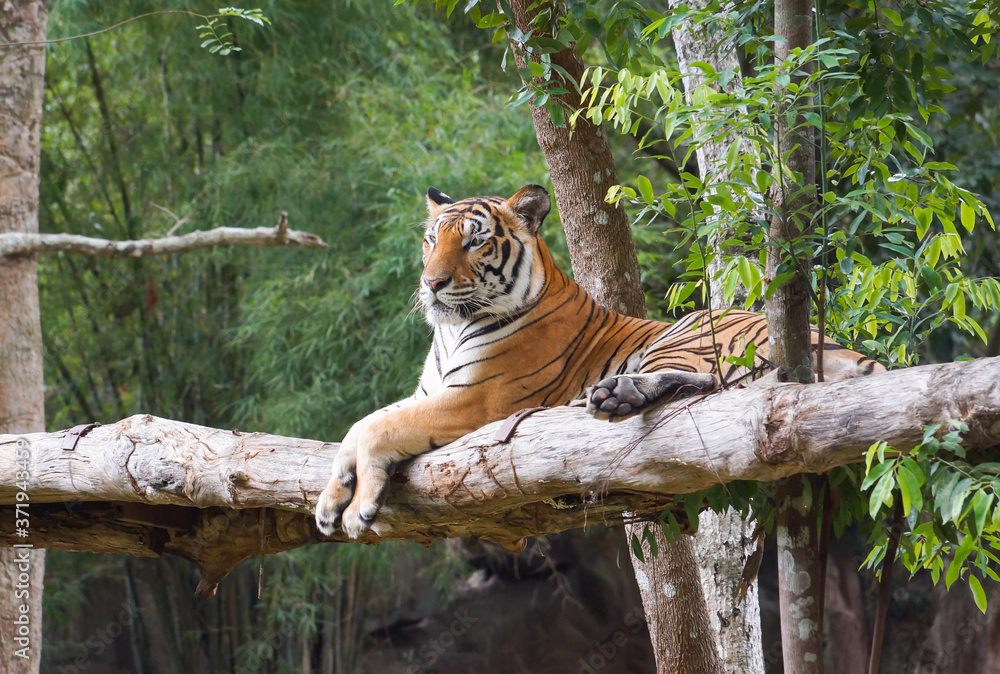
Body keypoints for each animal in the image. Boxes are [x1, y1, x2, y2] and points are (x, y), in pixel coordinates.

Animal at [315, 184, 883, 539]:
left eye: (474, 242)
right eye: (432, 239)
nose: (430, 283)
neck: (450, 331)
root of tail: (828, 338)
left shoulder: (477, 399)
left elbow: (379, 427)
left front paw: (358, 508)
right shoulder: (428, 393)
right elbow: (358, 426)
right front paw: (330, 499)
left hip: (689, 333)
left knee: (706, 382)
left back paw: (615, 394)